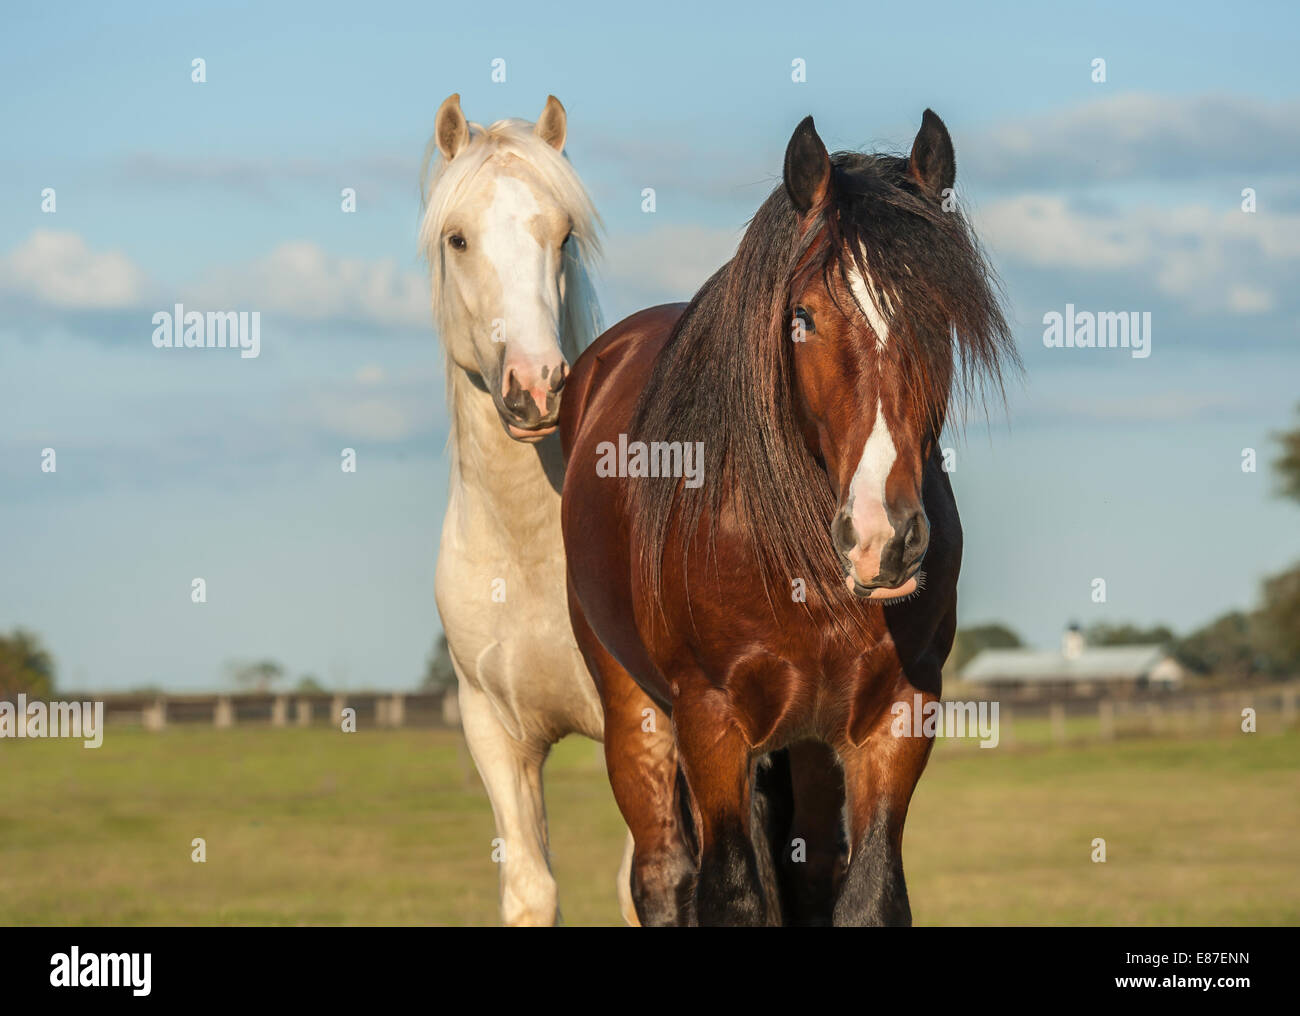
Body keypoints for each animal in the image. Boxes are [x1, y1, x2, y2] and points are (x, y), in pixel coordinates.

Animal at [421, 97, 634, 930]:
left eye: (564, 234)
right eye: (457, 237)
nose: (537, 385)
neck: (532, 552)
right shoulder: (495, 732)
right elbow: (532, 889)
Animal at [559, 111, 1013, 930]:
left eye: (940, 315)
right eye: (802, 316)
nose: (883, 541)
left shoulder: (896, 717)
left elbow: (866, 895)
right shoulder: (711, 723)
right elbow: (731, 895)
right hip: (634, 708)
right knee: (663, 875)